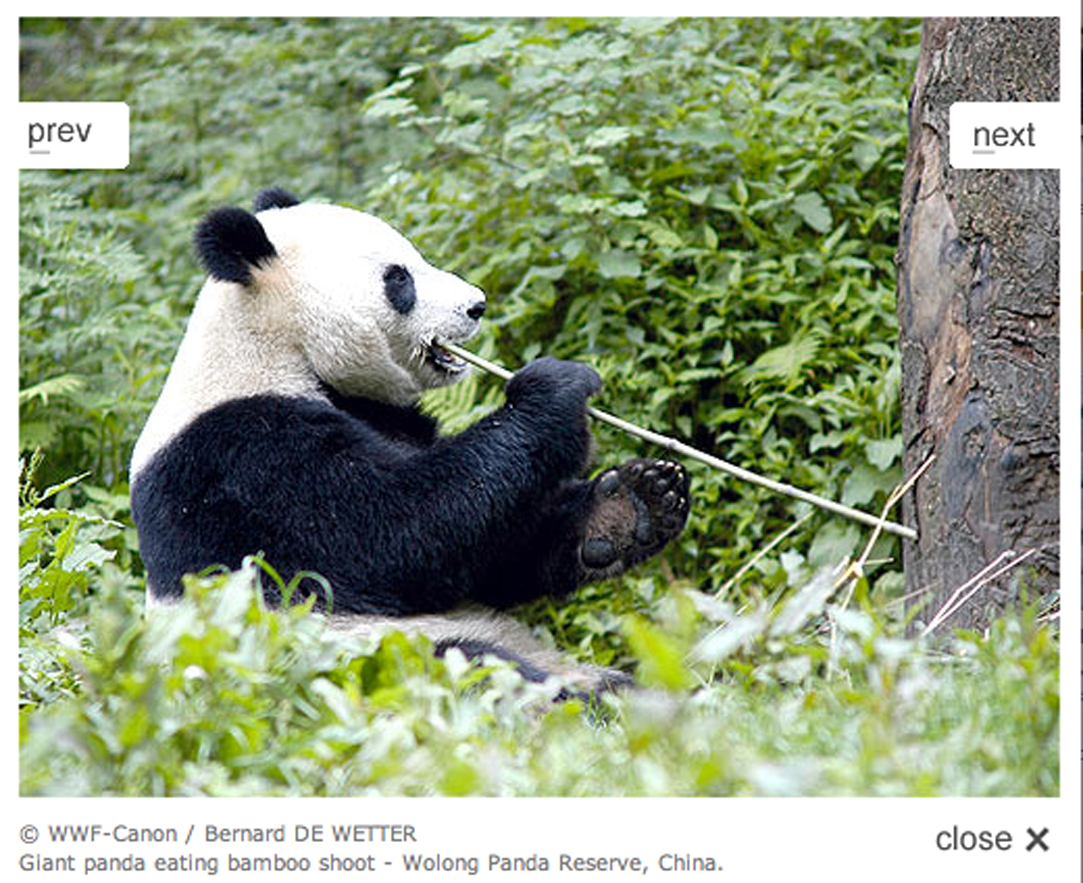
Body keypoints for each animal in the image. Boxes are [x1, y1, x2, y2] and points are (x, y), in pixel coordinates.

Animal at [130, 187, 691, 694]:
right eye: (399, 278)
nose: (477, 306)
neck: (273, 346)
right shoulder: (242, 459)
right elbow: (395, 533)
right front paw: (554, 390)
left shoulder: (384, 415)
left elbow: (491, 552)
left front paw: (635, 503)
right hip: (361, 658)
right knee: (476, 671)